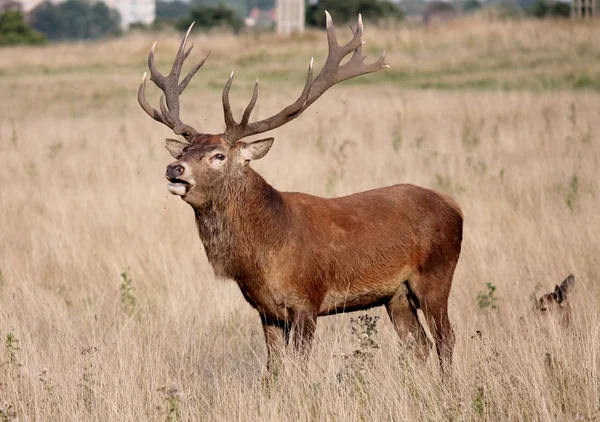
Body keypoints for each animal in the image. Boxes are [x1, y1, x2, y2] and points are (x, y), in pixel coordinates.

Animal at [137, 13, 464, 376]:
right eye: (184, 152)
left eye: (218, 156)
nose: (174, 169)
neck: (265, 253)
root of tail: (456, 207)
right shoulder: (266, 311)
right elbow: (274, 370)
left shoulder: (307, 299)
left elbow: (300, 368)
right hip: (396, 296)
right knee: (418, 345)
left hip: (437, 272)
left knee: (445, 338)